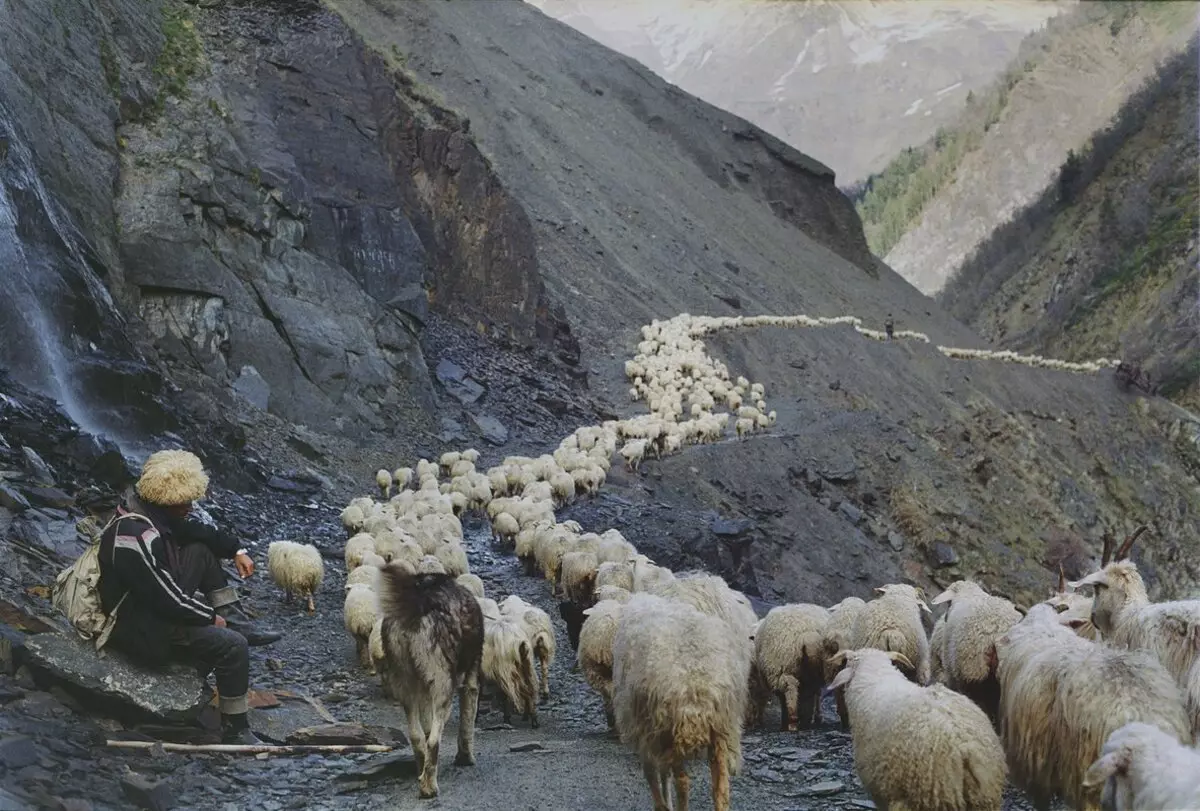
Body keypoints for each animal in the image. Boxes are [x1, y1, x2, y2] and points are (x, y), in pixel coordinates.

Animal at [614, 590, 744, 811]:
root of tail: (698, 687)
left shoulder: (645, 730)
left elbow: (651, 772)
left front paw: (662, 805)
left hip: (671, 730)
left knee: (682, 781)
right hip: (720, 728)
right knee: (721, 787)